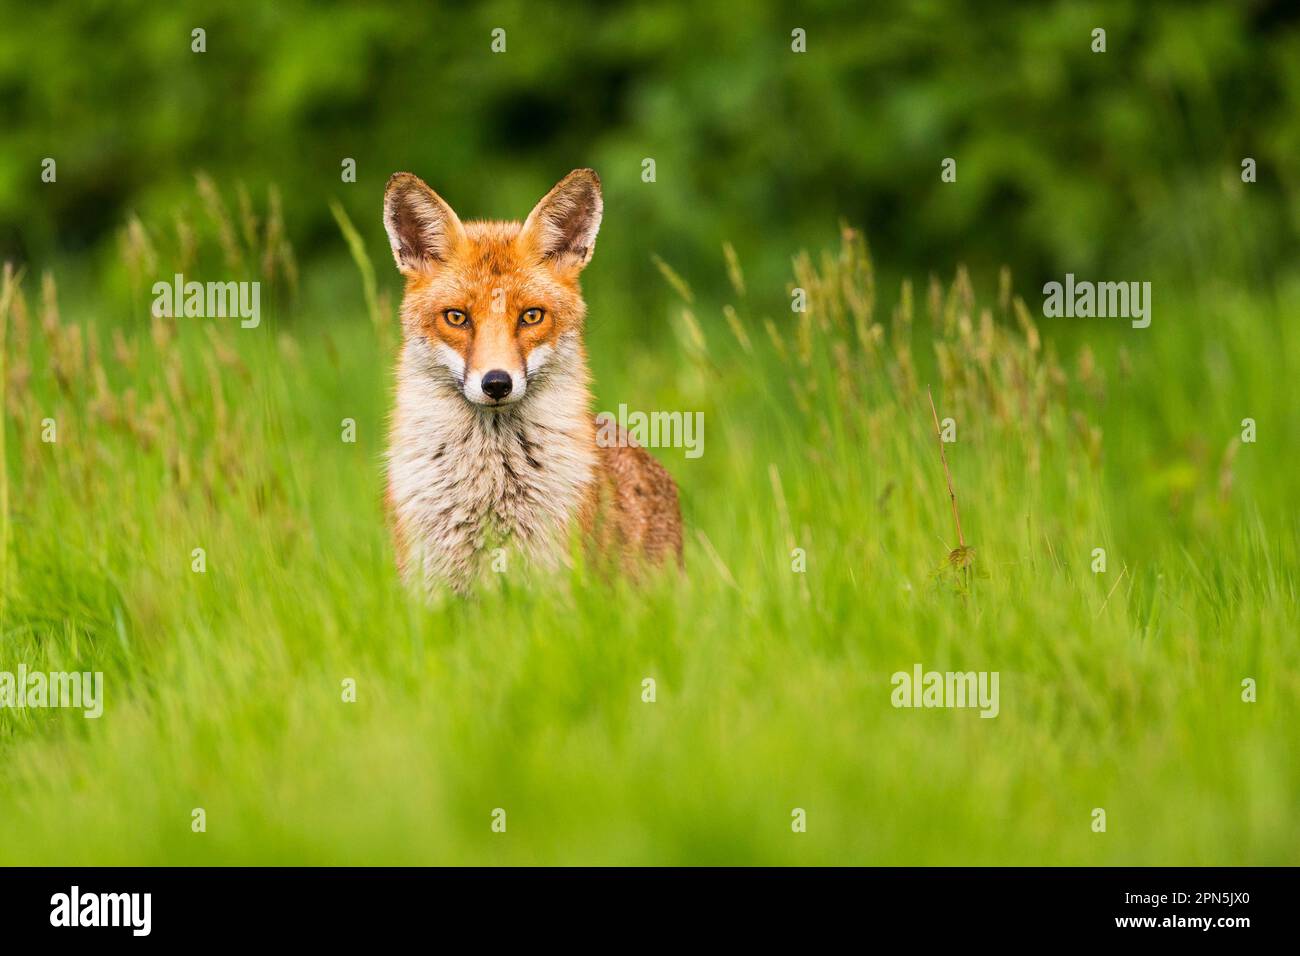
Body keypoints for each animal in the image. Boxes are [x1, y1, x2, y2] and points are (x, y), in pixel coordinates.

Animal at [382, 168, 683, 595]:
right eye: (456, 317)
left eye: (531, 316)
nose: (496, 383)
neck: (491, 490)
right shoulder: (432, 590)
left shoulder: (553, 586)